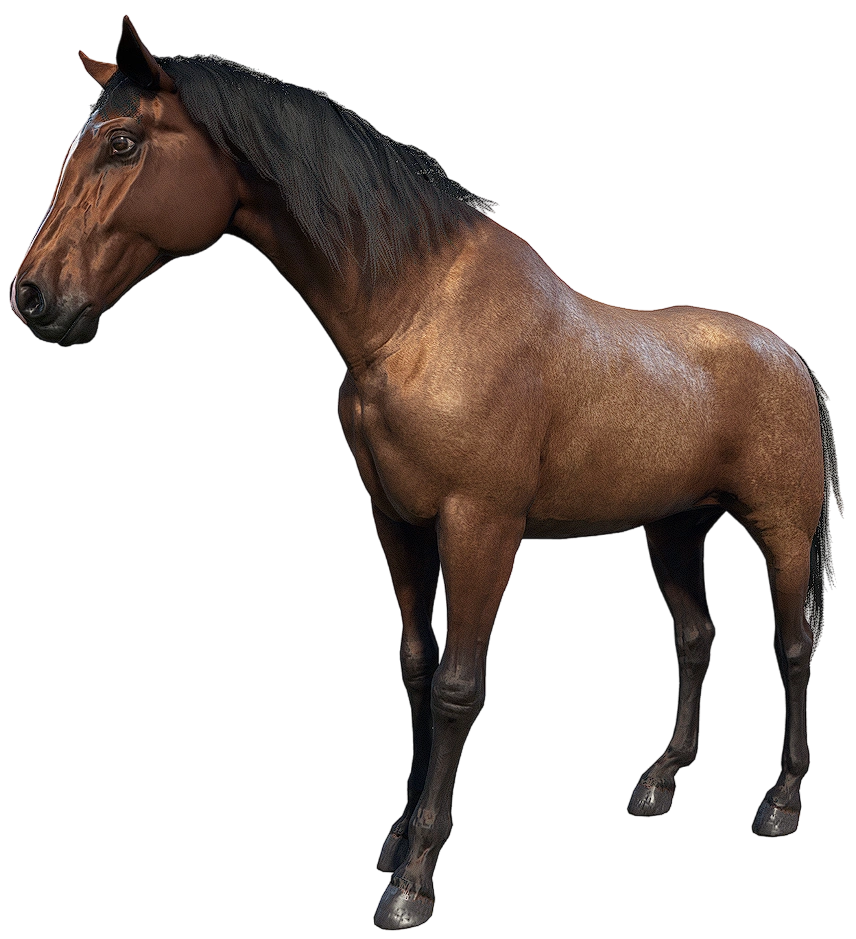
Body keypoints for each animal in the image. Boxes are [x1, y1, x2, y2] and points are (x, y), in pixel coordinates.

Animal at [10, 15, 843, 927]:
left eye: (122, 143)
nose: (33, 295)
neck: (416, 316)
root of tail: (789, 356)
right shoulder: (398, 521)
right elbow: (415, 668)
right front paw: (395, 838)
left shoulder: (480, 526)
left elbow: (454, 687)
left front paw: (412, 882)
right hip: (674, 526)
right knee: (695, 639)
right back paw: (659, 784)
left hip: (781, 532)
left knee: (795, 645)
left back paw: (781, 802)